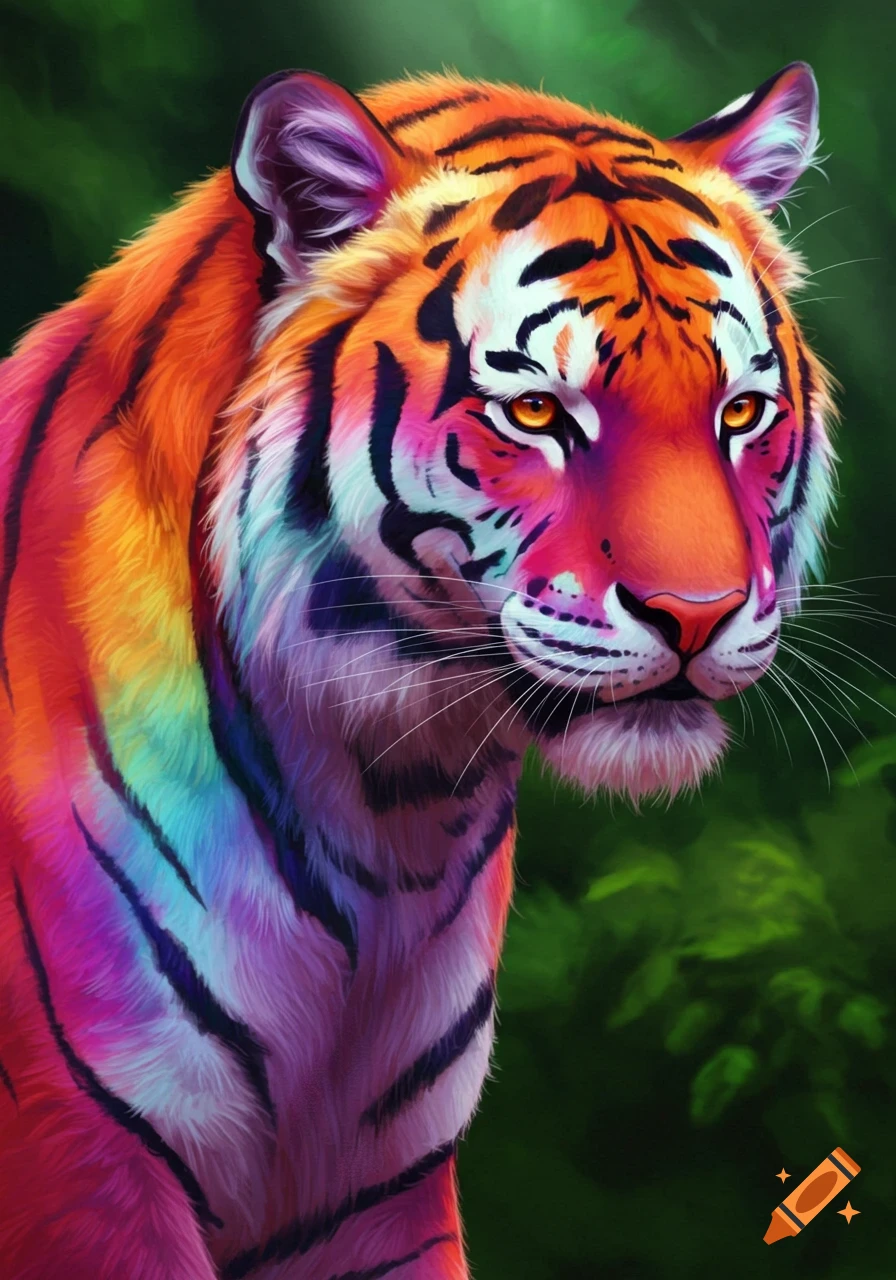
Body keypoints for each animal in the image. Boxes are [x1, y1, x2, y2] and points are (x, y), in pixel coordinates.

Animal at [0, 61, 834, 1279]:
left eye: (739, 412)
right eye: (535, 412)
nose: (698, 612)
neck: (390, 813)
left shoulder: (377, 1195)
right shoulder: (82, 1155)